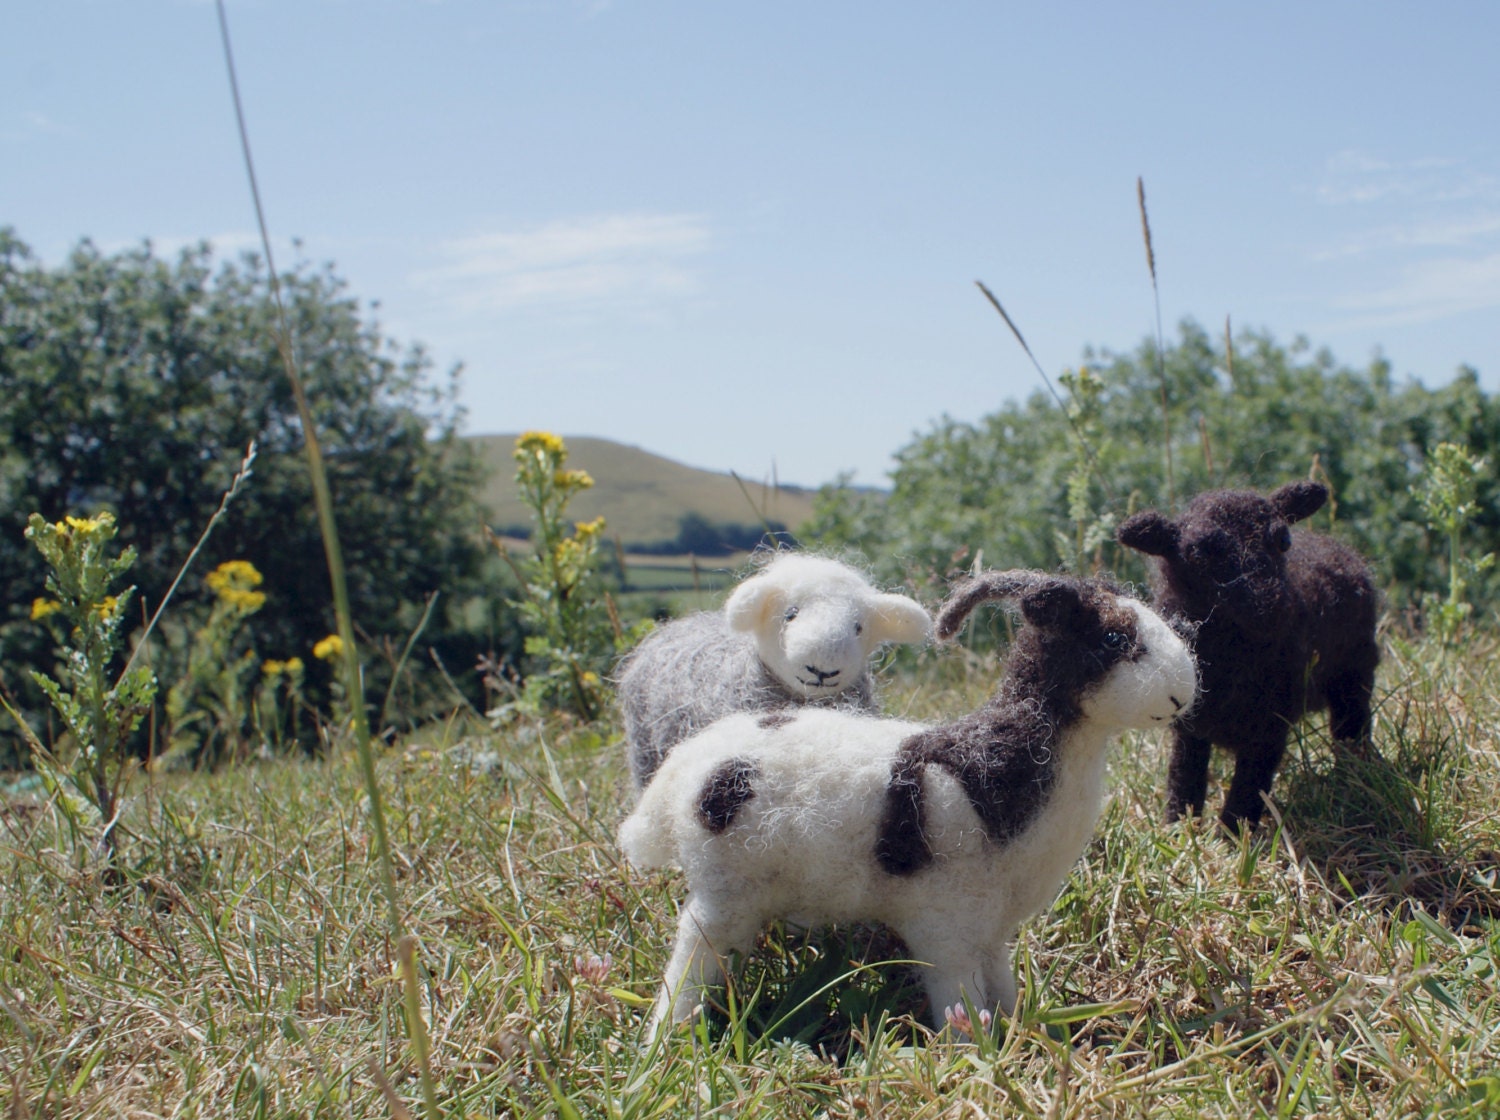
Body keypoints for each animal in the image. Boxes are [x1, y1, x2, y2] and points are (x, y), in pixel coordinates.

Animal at [1116, 480, 1381, 831]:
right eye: (1198, 553)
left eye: (1283, 540)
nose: (1270, 606)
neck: (1233, 656)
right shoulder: (1190, 724)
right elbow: (1184, 777)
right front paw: (1178, 828)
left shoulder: (1270, 723)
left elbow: (1247, 788)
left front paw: (1233, 836)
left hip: (1354, 671)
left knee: (1351, 726)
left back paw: (1355, 777)